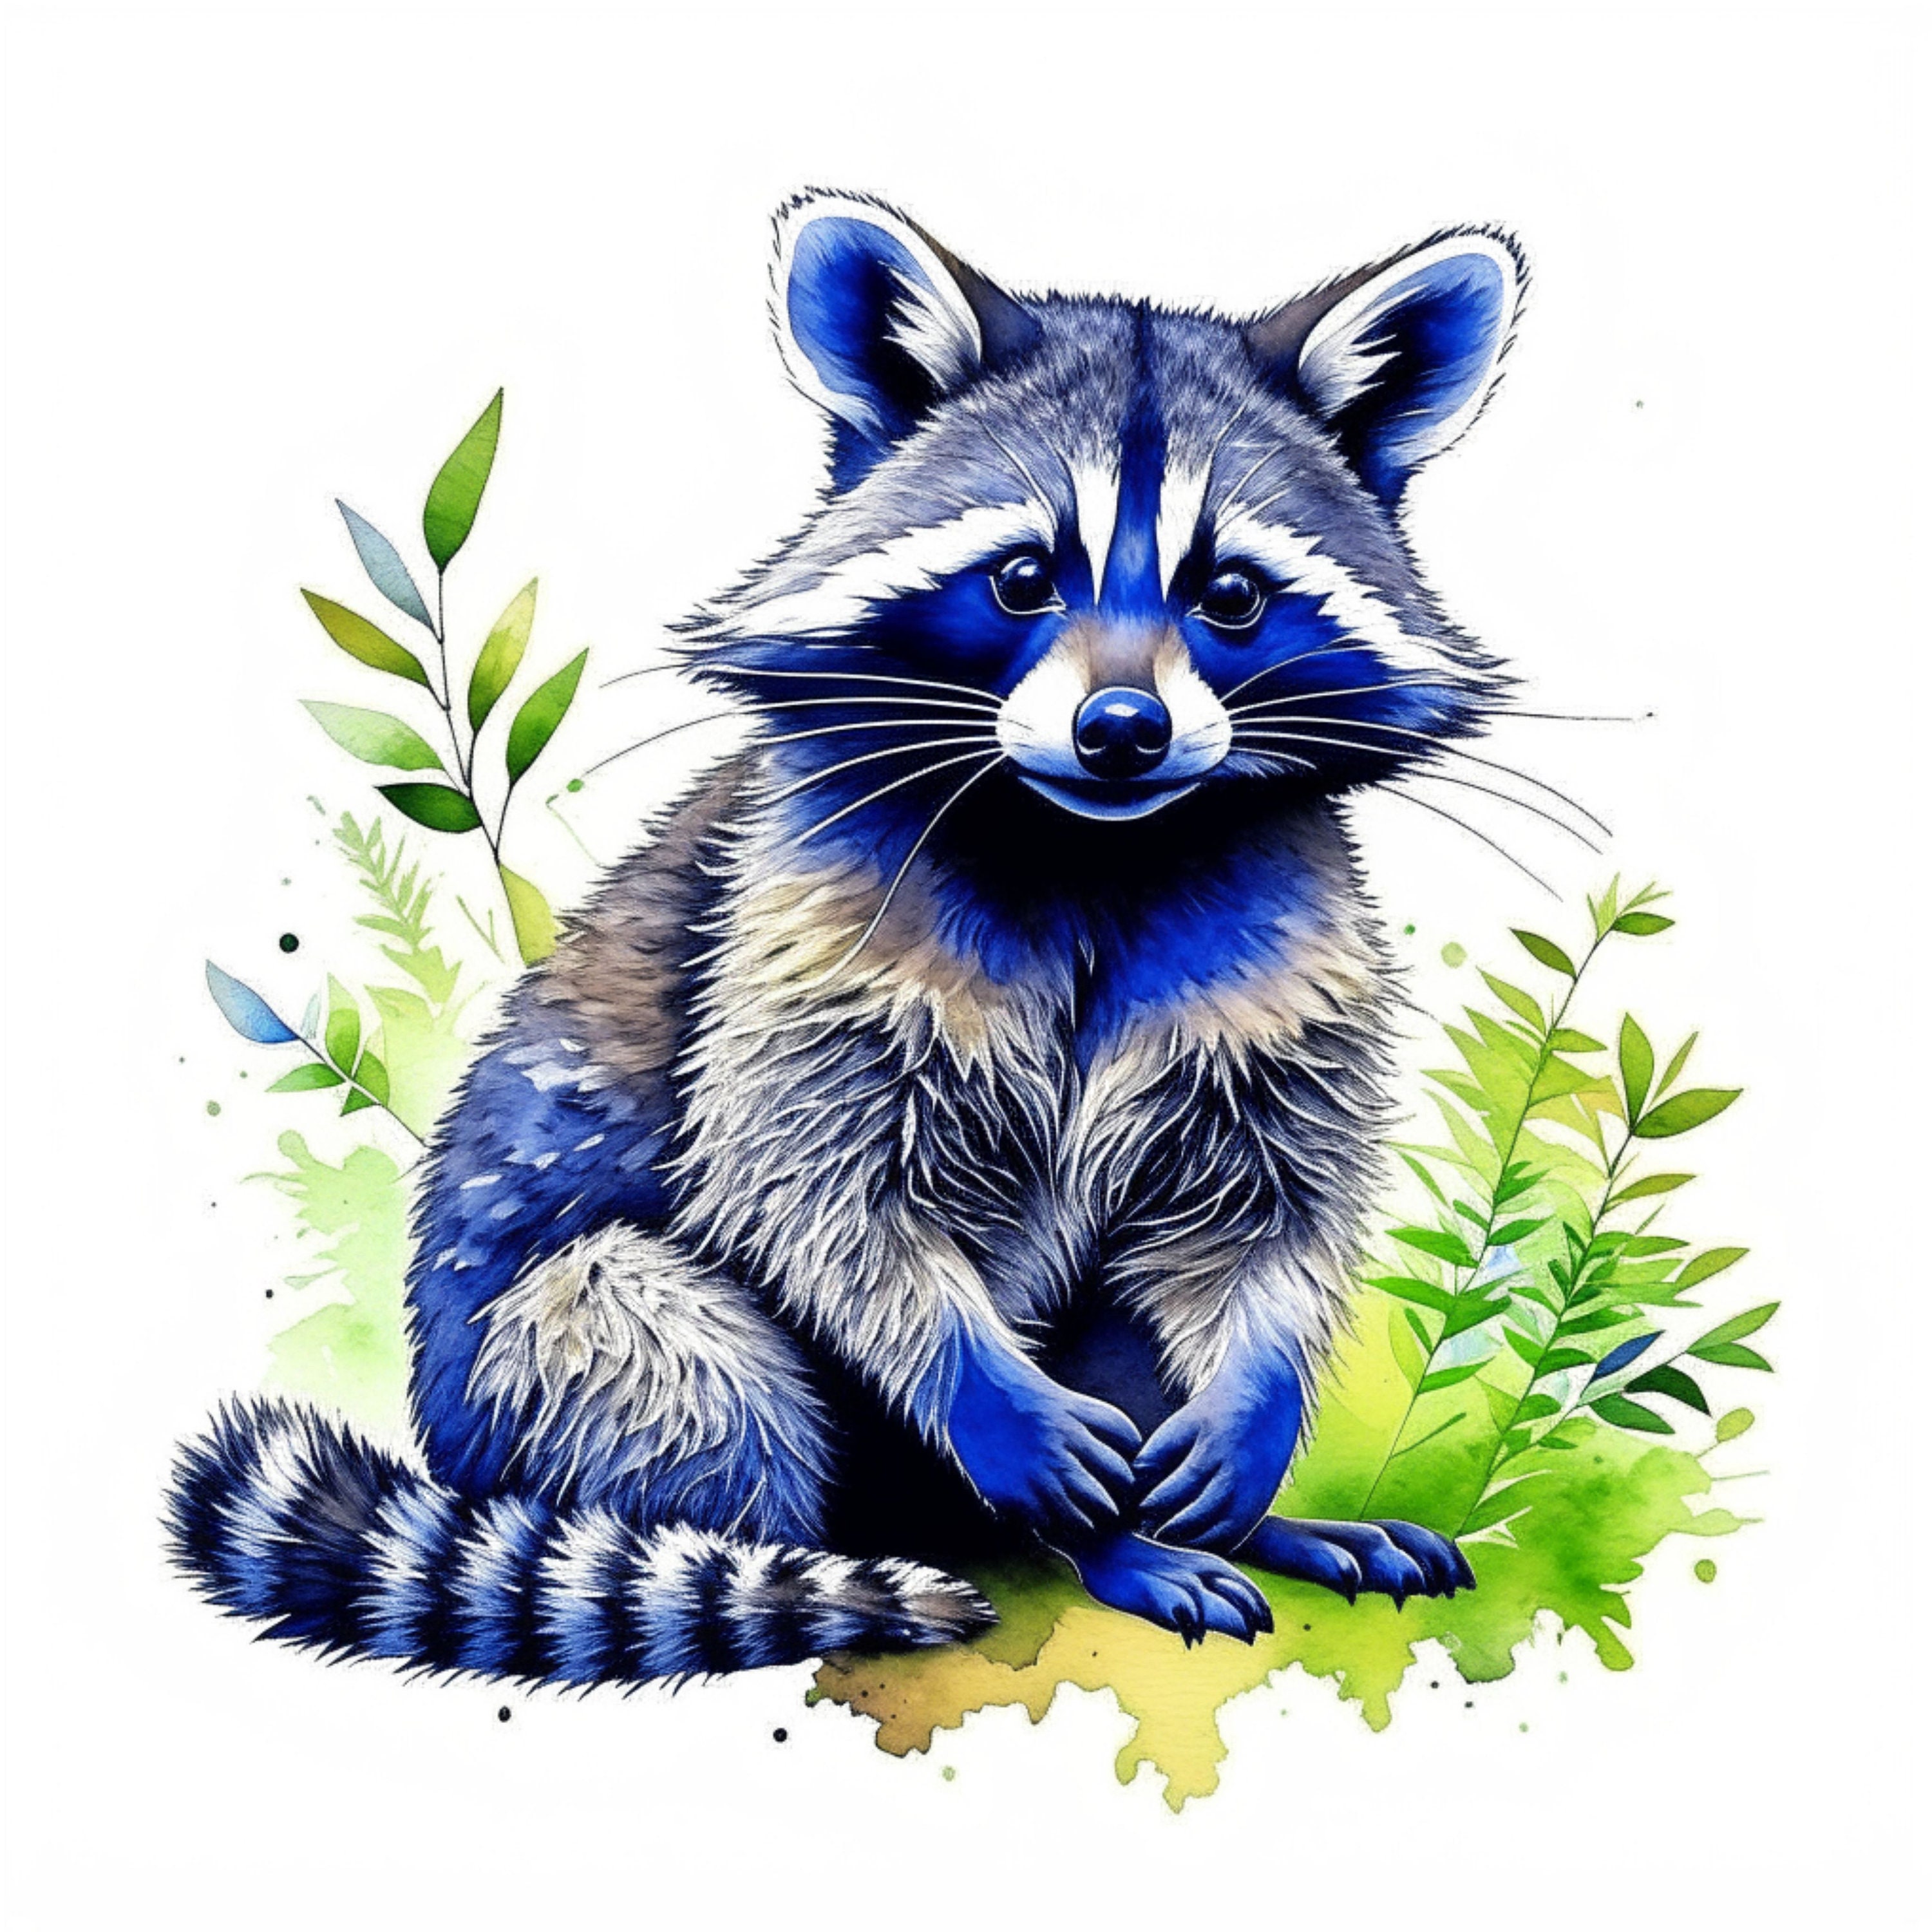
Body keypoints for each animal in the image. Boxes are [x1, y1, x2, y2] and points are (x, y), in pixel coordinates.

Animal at [169, 190, 1523, 1685]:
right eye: (1022, 578)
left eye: (1230, 594)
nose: (1122, 730)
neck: (1096, 847)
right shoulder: (797, 923)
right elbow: (817, 1192)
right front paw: (991, 1399)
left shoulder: (1279, 944)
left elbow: (1265, 1205)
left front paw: (1255, 1405)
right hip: (538, 1356)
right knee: (668, 1348)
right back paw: (870, 1557)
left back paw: (1182, 1532)